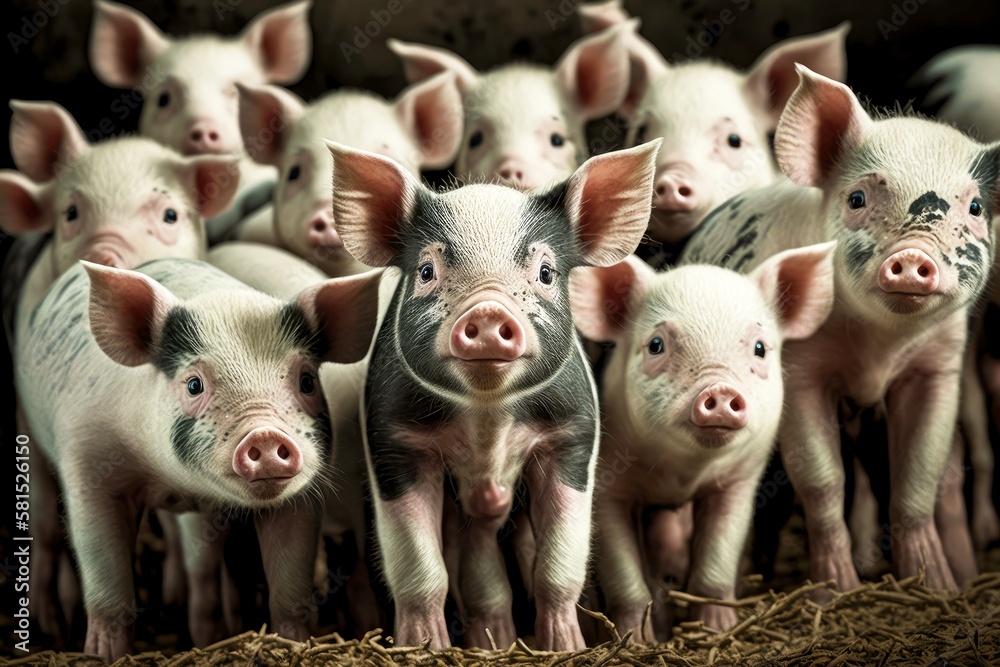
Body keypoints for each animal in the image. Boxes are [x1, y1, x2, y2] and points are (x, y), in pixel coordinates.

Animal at [15, 256, 382, 661]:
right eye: (194, 384)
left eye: (307, 381)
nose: (266, 435)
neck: (171, 483)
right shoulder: (88, 465)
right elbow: (109, 589)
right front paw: (103, 657)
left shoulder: (297, 500)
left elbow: (290, 593)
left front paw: (294, 644)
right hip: (30, 434)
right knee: (45, 531)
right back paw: (49, 625)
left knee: (202, 575)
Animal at [326, 138, 661, 649]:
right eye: (426, 270)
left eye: (546, 272)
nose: (486, 312)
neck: (488, 419)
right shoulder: (393, 440)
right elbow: (421, 570)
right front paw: (423, 647)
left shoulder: (573, 436)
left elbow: (556, 568)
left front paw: (566, 647)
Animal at [570, 243, 835, 635]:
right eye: (656, 344)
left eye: (760, 348)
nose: (721, 390)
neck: (683, 475)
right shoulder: (606, 489)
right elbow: (626, 580)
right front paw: (638, 640)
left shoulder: (740, 481)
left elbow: (716, 564)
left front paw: (718, 628)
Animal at [681, 65, 1000, 597]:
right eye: (857, 198)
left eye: (975, 208)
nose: (912, 256)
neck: (879, 347)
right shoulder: (800, 372)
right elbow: (823, 482)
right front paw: (836, 595)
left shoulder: (938, 365)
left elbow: (918, 478)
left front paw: (936, 588)